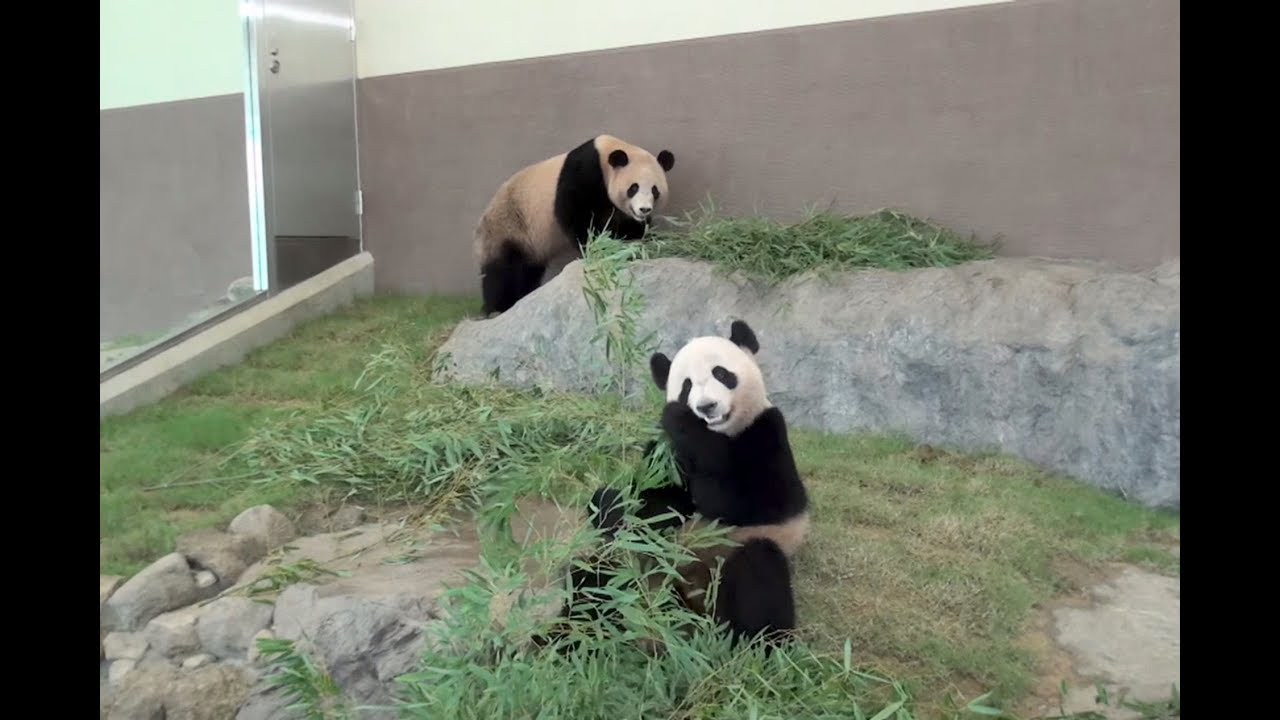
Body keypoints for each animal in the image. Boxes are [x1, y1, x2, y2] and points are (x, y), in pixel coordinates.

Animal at [473, 134, 676, 316]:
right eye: (633, 188)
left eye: (655, 190)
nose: (644, 209)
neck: (606, 155)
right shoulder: (583, 174)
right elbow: (576, 215)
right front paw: (596, 248)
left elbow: (626, 225)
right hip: (508, 225)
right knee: (502, 271)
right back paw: (496, 307)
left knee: (527, 271)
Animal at [542, 319, 811, 651]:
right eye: (686, 387)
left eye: (722, 374)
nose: (707, 407)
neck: (720, 432)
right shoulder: (664, 456)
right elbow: (654, 505)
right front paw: (609, 502)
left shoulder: (767, 431)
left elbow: (747, 498)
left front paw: (682, 422)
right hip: (632, 568)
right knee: (591, 580)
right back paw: (565, 640)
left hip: (728, 565)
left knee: (759, 570)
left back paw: (752, 645)